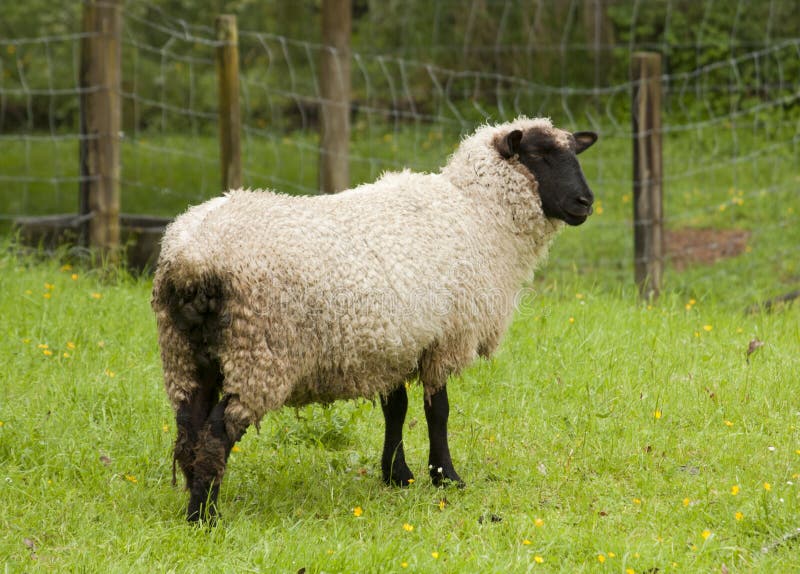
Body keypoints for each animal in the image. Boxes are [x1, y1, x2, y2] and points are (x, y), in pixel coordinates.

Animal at [151, 117, 598, 522]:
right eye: (539, 155)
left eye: (575, 152)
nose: (585, 203)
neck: (477, 215)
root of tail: (193, 260)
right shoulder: (443, 339)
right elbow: (438, 410)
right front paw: (446, 476)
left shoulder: (392, 342)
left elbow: (396, 408)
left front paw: (397, 474)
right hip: (261, 353)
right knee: (216, 433)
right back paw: (204, 516)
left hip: (186, 353)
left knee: (188, 429)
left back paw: (195, 493)